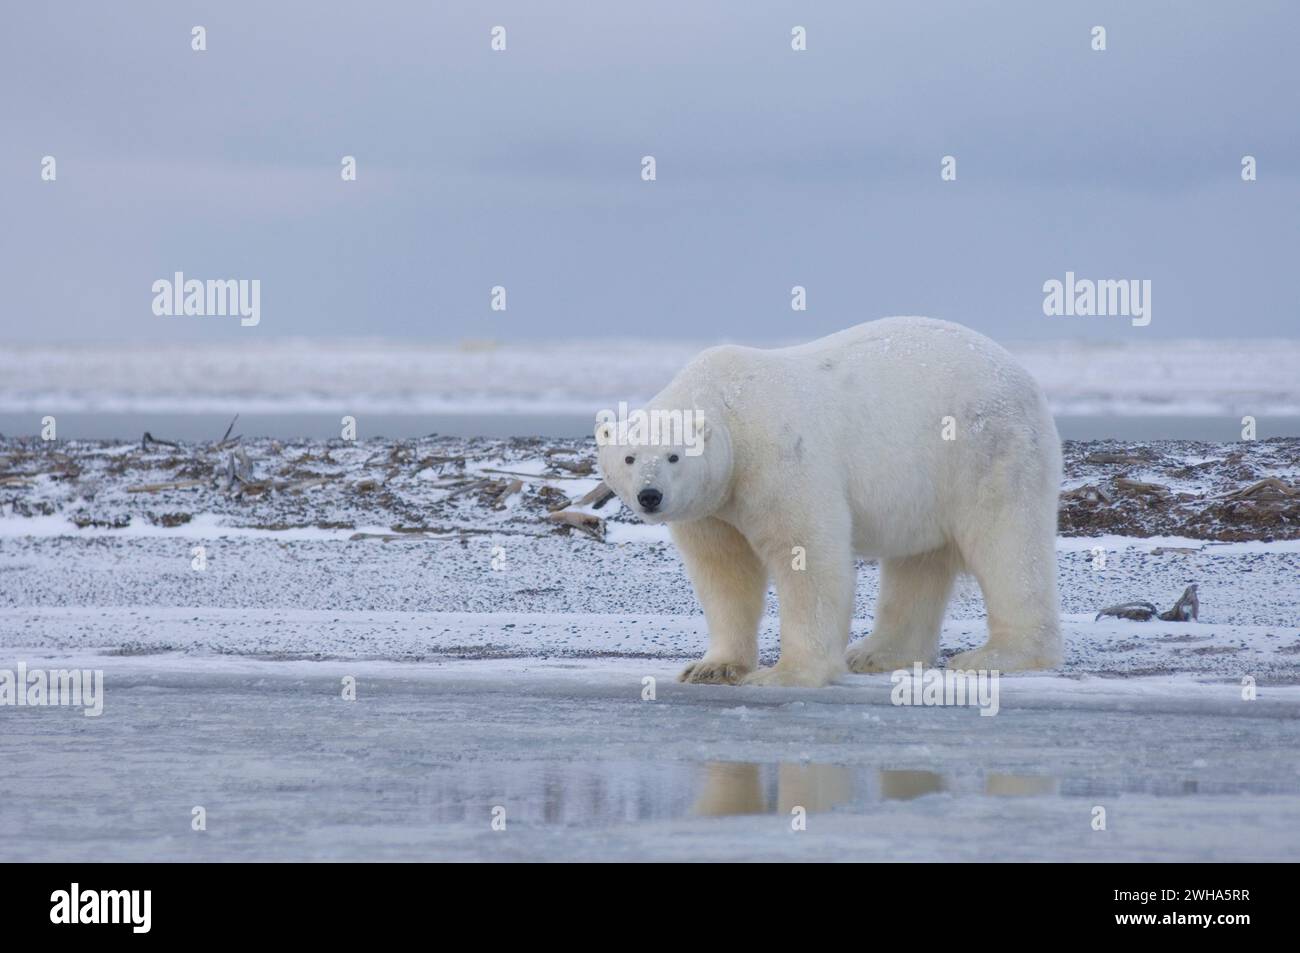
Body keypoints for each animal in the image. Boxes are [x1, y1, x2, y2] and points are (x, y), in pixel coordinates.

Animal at [595, 316, 1062, 688]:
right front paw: (712, 668)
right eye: (629, 457)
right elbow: (724, 571)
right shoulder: (714, 505)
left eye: (674, 456)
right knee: (918, 562)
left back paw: (996, 655)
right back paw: (875, 653)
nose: (650, 495)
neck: (729, 406)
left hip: (988, 448)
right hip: (928, 483)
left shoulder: (780, 457)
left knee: (1007, 546)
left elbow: (806, 556)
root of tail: (1022, 374)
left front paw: (786, 674)